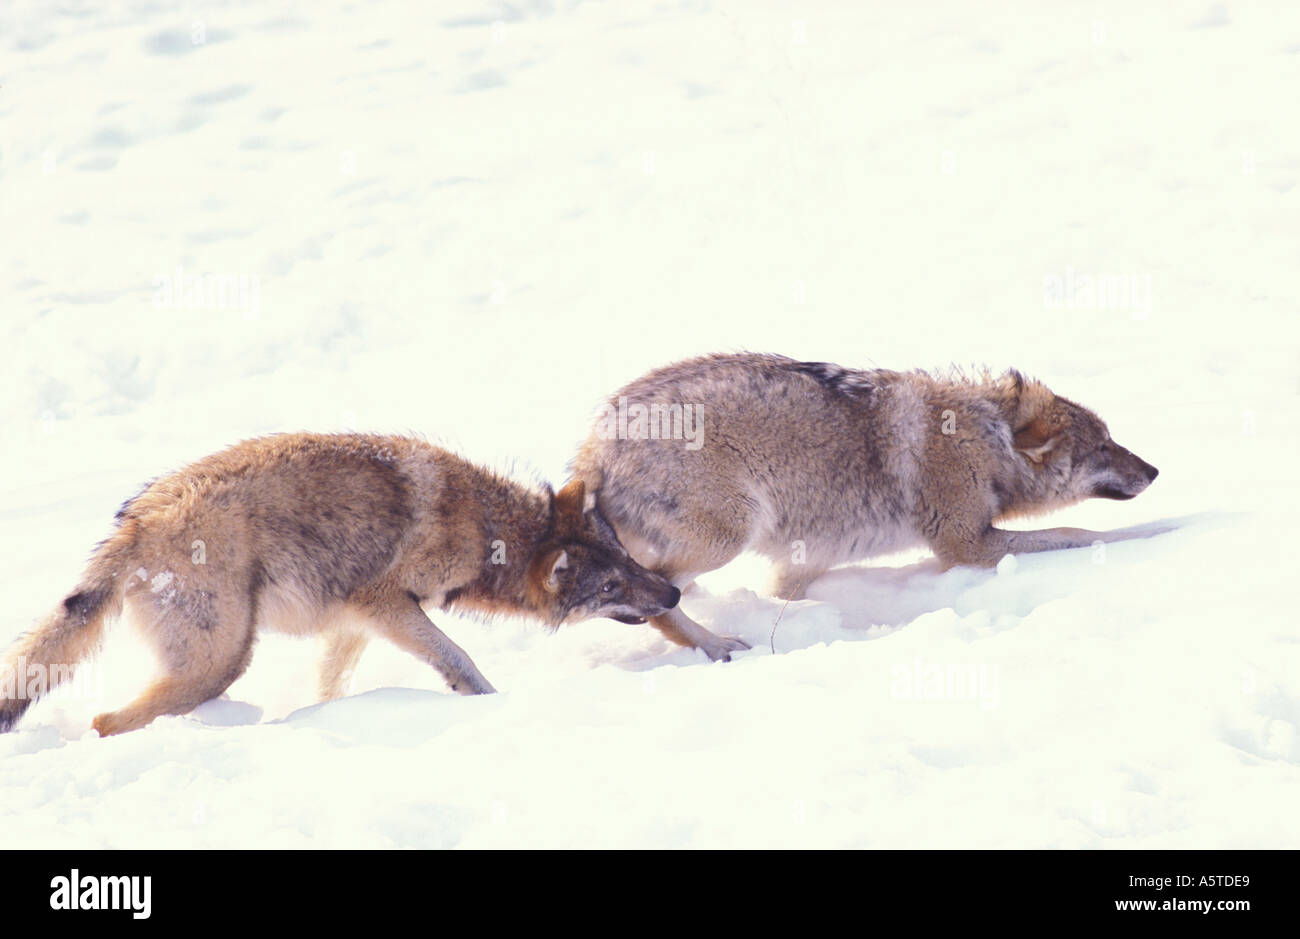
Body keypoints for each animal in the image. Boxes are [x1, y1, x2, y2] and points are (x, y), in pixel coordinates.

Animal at [0, 433, 679, 736]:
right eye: (613, 587)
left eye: (630, 562)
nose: (672, 595)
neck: (487, 529)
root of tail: (136, 524)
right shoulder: (384, 605)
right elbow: (458, 656)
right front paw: (488, 702)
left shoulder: (355, 624)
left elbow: (332, 685)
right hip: (223, 659)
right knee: (106, 721)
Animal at [571, 353, 1162, 662]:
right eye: (1103, 447)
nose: (1155, 471)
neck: (984, 438)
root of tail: (596, 449)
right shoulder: (966, 546)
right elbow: (1083, 532)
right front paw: (1152, 537)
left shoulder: (801, 566)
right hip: (727, 536)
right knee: (659, 598)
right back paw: (717, 646)